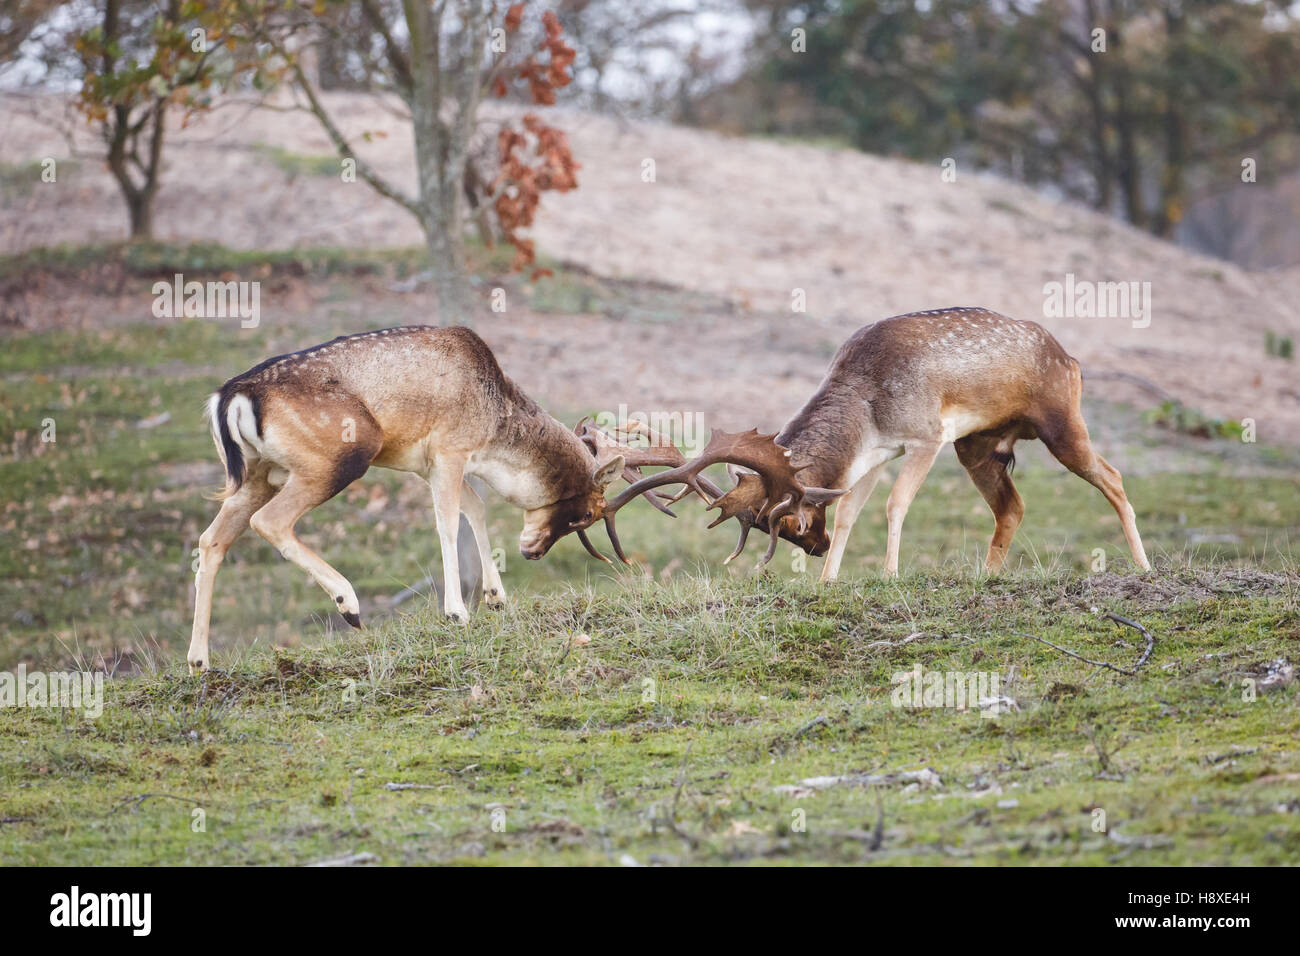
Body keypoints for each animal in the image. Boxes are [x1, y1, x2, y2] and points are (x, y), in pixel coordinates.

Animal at [187, 325, 683, 673]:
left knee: (211, 540)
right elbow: (447, 520)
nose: (534, 552)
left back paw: (199, 661)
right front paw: (457, 612)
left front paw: (496, 597)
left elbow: (475, 509)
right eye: (585, 515)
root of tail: (231, 397)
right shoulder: (448, 448)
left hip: (257, 474)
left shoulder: (429, 463)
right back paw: (350, 605)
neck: (492, 427)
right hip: (339, 456)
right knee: (270, 522)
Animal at [599, 308, 1151, 580]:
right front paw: (829, 581)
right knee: (1012, 506)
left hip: (1061, 421)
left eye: (792, 523)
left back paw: (1143, 564)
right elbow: (850, 510)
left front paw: (888, 573)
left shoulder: (926, 436)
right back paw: (988, 575)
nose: (817, 550)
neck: (869, 406)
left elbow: (895, 504)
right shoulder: (879, 454)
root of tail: (1072, 360)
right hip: (977, 445)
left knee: (1114, 476)